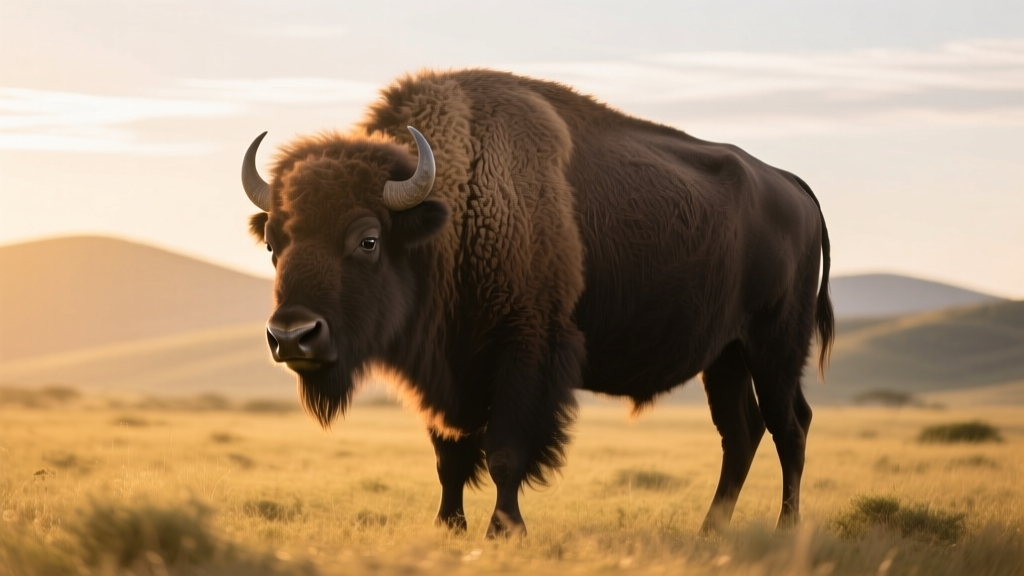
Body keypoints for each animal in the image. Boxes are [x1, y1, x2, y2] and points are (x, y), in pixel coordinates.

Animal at [240, 69, 834, 537]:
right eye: (273, 243)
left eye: (368, 240)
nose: (292, 336)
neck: (455, 206)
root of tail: (793, 186)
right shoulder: (447, 371)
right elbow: (449, 455)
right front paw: (449, 526)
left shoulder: (526, 351)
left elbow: (505, 451)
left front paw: (505, 531)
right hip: (725, 357)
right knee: (741, 432)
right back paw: (710, 529)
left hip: (774, 346)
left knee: (790, 426)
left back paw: (786, 528)